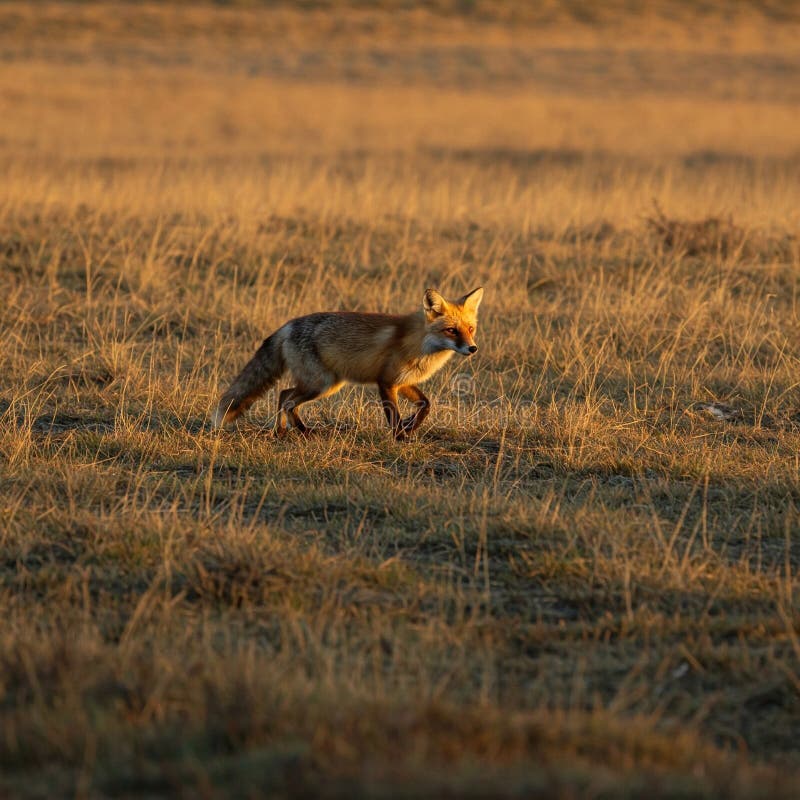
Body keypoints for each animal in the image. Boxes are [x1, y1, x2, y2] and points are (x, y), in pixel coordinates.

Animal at [212, 286, 484, 440]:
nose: (472, 348)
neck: (420, 344)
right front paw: (401, 438)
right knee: (287, 399)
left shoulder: (403, 382)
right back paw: (302, 432)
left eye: (470, 329)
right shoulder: (386, 382)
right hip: (321, 384)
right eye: (451, 331)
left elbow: (426, 405)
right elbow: (393, 416)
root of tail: (288, 324)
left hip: (325, 383)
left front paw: (410, 426)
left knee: (283, 394)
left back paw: (282, 432)